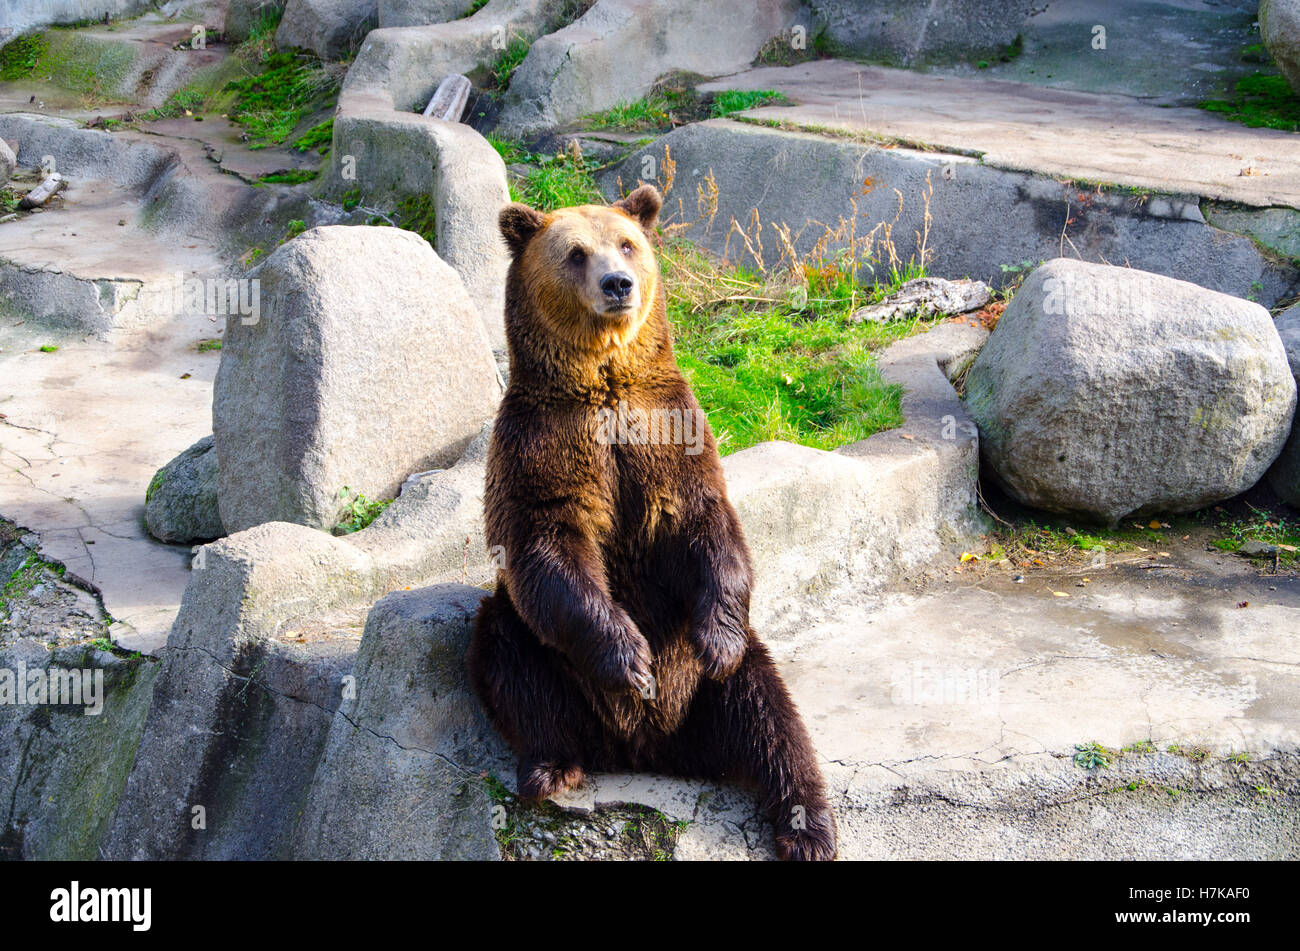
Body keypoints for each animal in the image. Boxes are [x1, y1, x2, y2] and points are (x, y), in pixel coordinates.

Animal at [466, 184, 837, 861]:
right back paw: (551, 767)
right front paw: (631, 661)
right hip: (548, 661)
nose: (618, 284)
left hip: (713, 687)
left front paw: (715, 641)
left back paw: (807, 825)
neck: (606, 385)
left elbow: (709, 525)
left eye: (627, 244)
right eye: (575, 252)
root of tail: (650, 746)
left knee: (771, 720)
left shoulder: (669, 432)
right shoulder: (541, 444)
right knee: (511, 658)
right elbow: (547, 543)